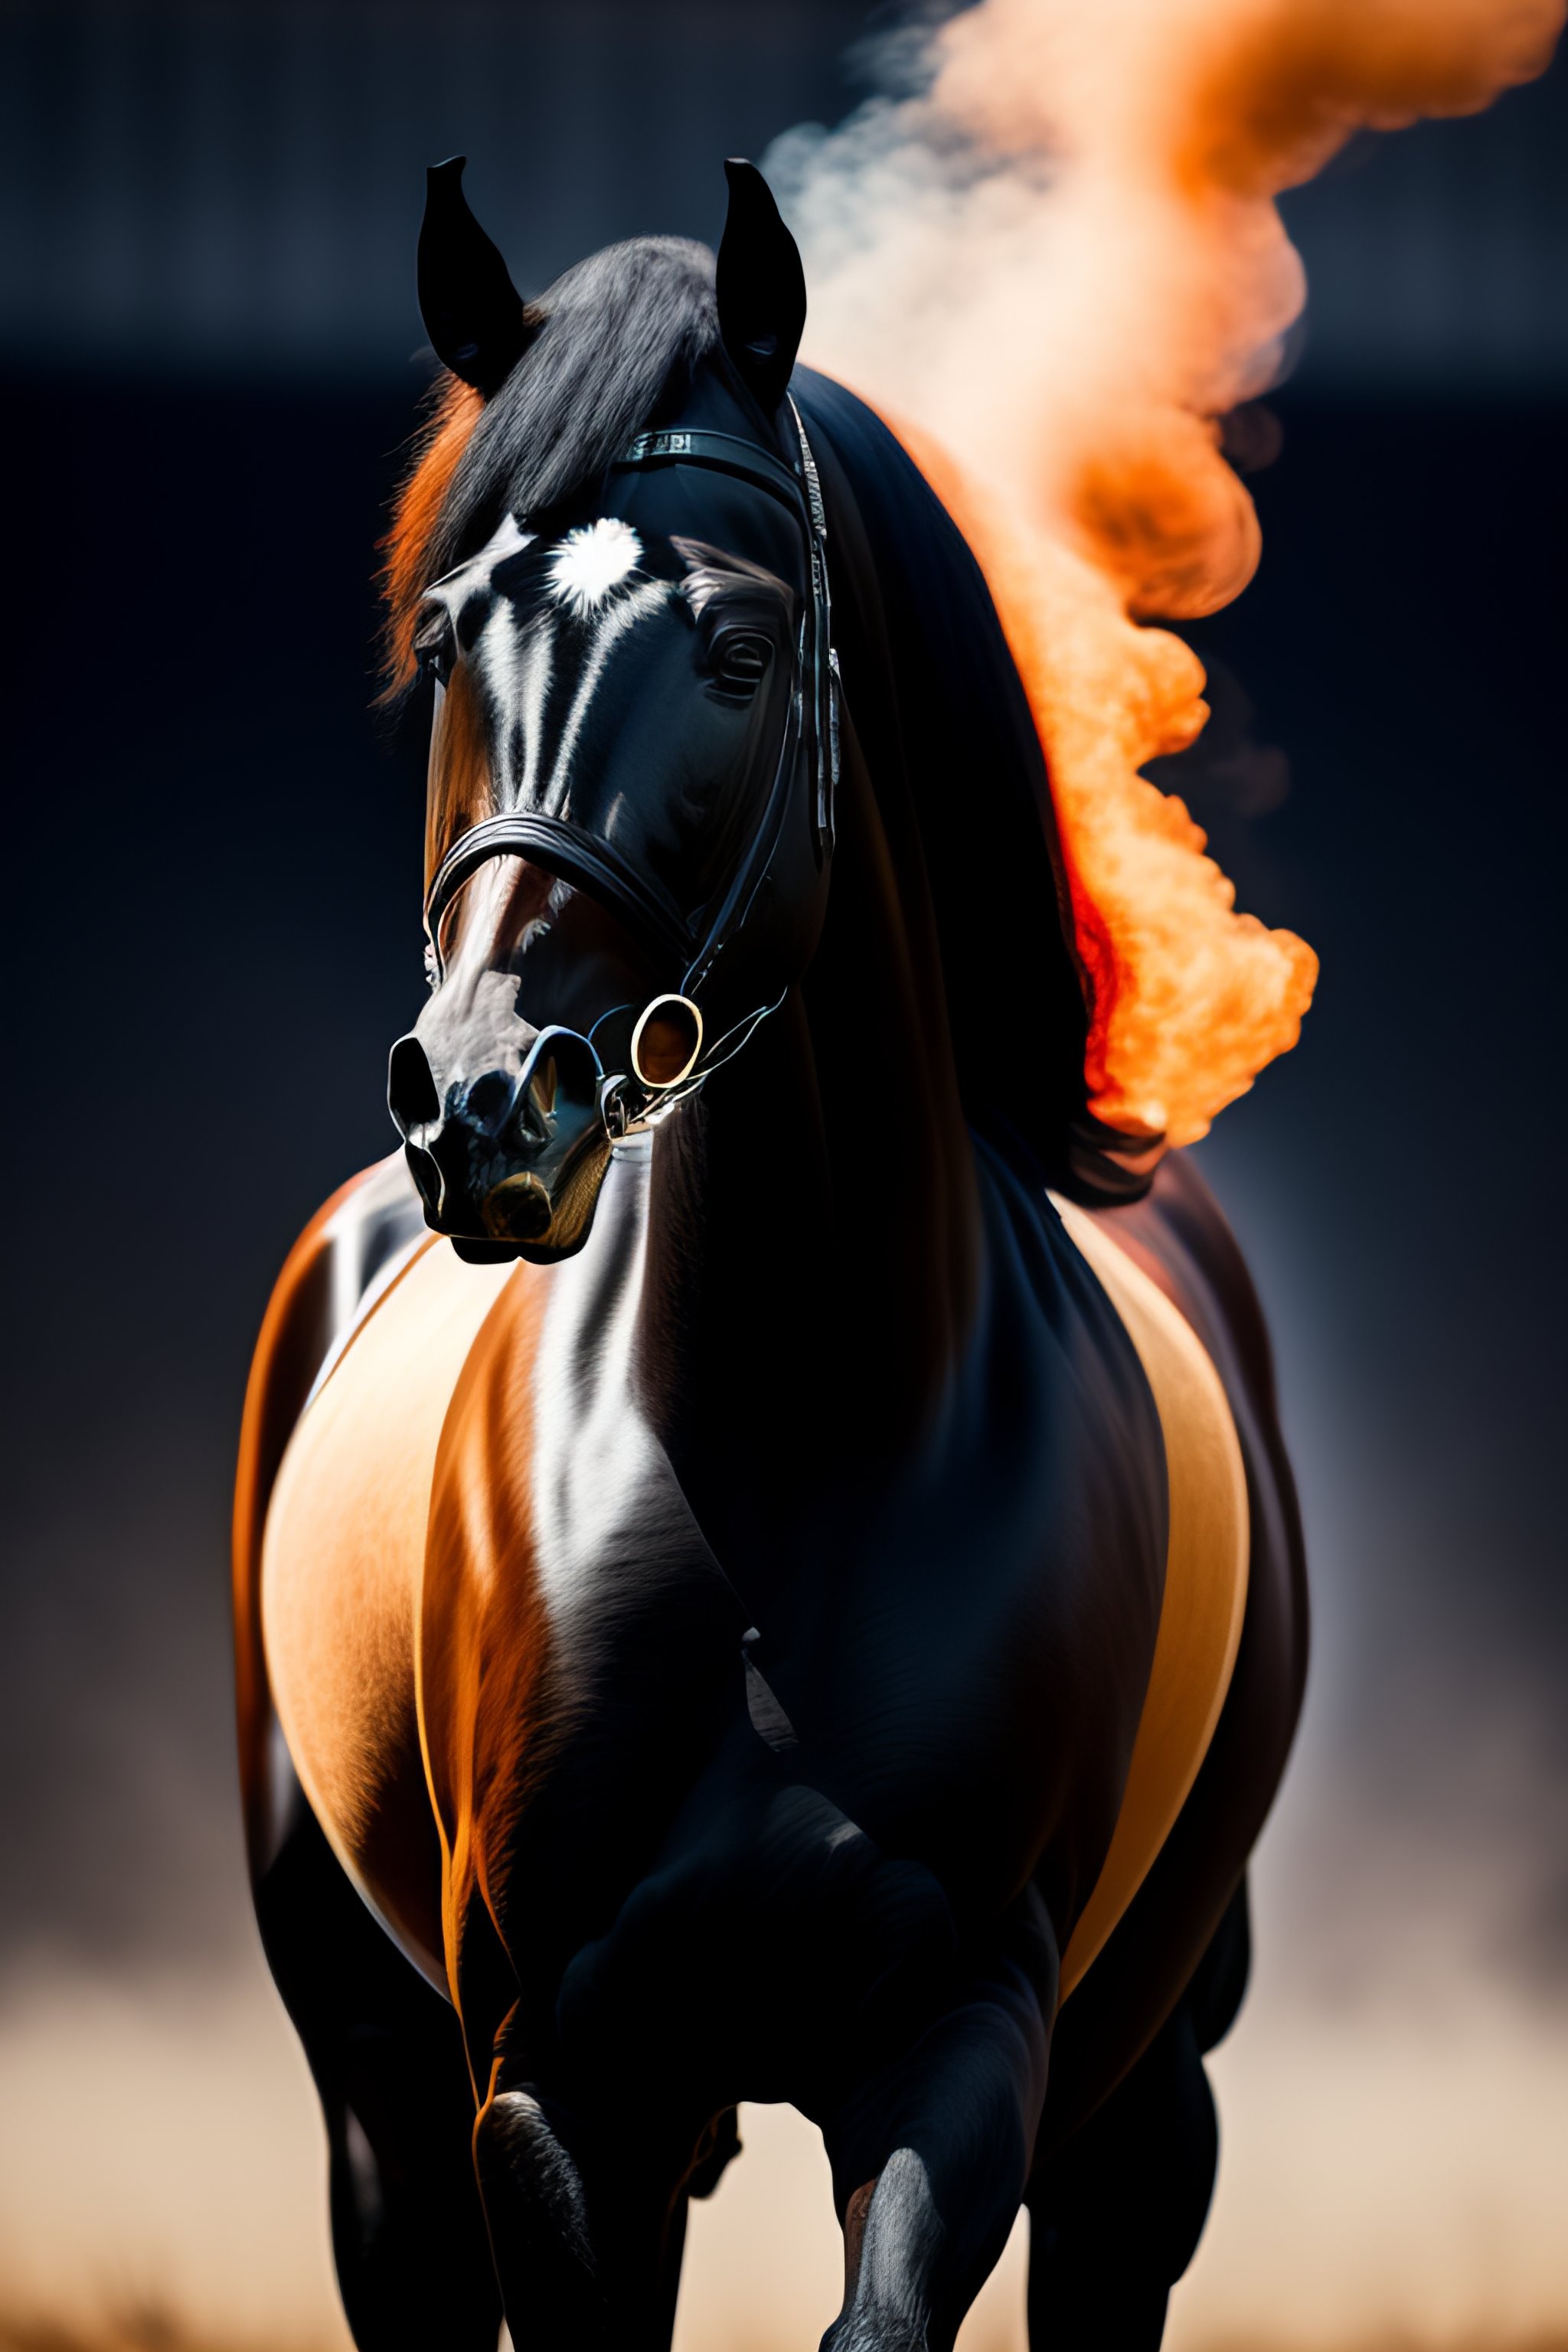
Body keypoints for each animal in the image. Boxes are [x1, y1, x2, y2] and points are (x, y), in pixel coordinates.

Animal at [232, 157, 1307, 2352]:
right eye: (452, 633)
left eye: (739, 646)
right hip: (376, 2093)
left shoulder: (963, 2041)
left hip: (1147, 2093)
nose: (489, 1102)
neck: (779, 1451)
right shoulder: (555, 2078)